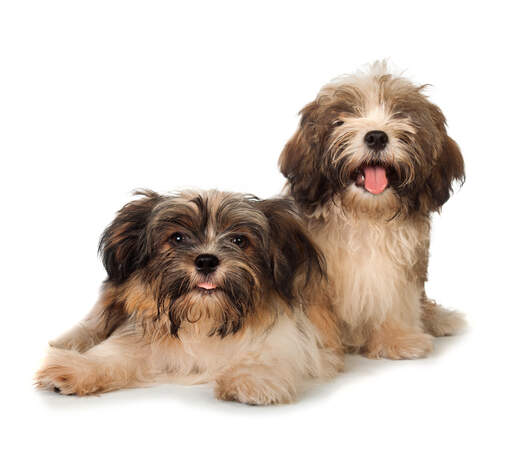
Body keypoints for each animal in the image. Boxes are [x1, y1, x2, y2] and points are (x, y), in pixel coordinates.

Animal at [34, 188, 342, 402]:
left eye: (240, 240)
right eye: (177, 238)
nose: (206, 260)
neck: (206, 318)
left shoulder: (291, 337)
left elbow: (271, 354)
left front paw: (251, 379)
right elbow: (112, 354)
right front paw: (77, 369)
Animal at [280, 61, 464, 358]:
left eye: (401, 115)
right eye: (343, 118)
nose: (376, 136)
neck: (366, 215)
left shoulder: (401, 271)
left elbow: (396, 302)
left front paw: (398, 338)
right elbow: (318, 315)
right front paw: (322, 349)